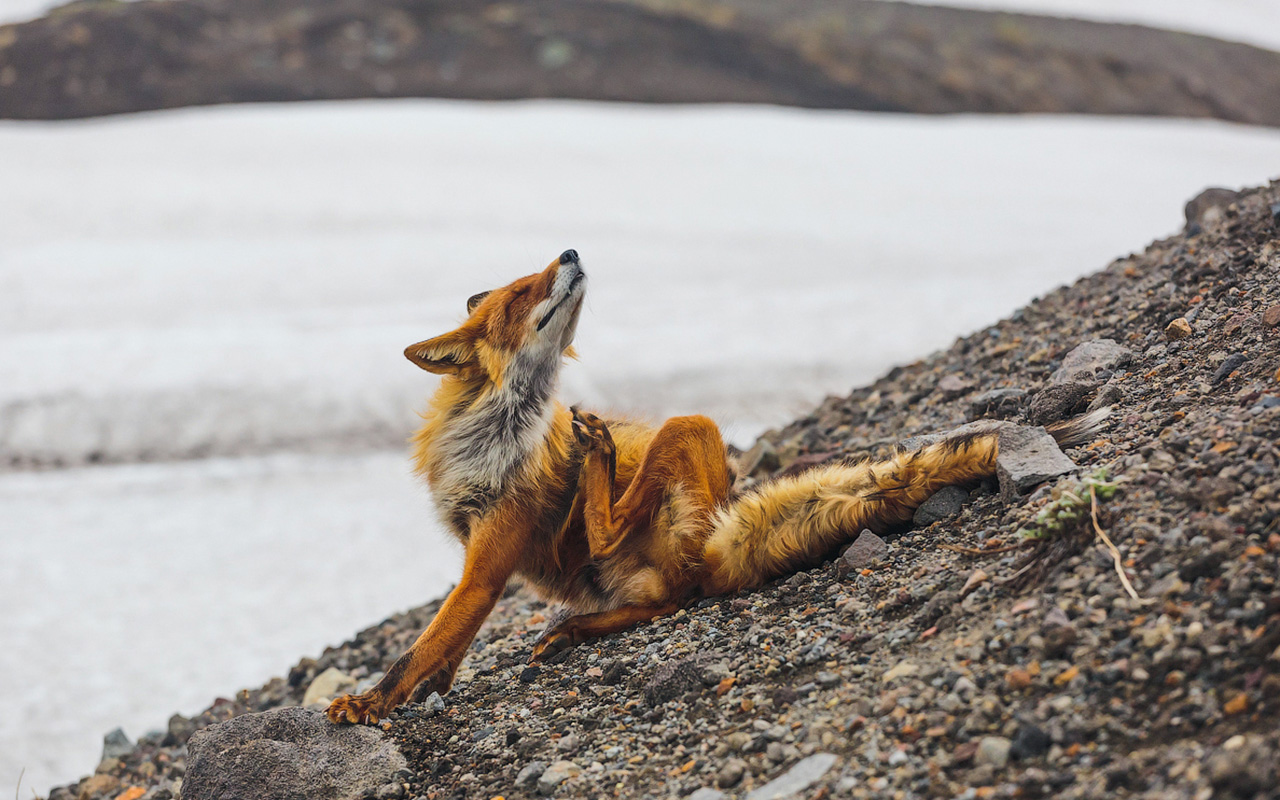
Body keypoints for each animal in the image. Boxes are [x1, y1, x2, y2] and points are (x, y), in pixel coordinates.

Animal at [326, 249, 1104, 725]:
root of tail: (722, 537)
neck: (496, 435)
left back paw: (596, 463)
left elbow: (419, 645)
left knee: (644, 564)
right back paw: (573, 627)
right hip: (637, 565)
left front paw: (369, 704)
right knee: (659, 603)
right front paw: (427, 689)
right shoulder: (474, 548)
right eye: (523, 291)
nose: (571, 253)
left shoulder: (491, 558)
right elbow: (444, 647)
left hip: (688, 430)